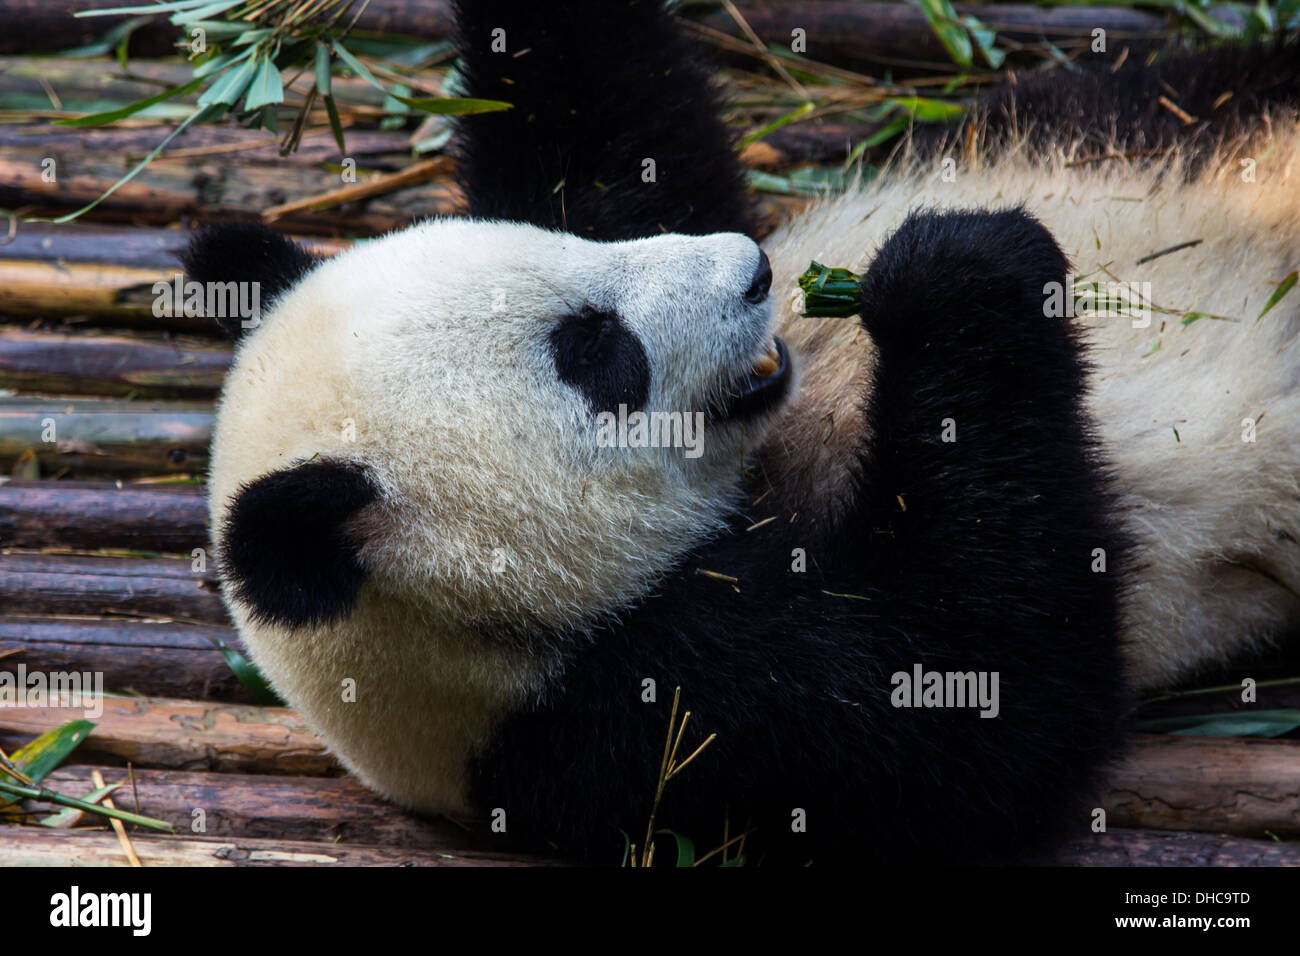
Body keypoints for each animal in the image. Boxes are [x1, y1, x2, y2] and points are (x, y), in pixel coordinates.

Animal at [182, 0, 1299, 863]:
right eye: (599, 355)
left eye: (568, 246)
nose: (754, 271)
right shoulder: (658, 711)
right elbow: (981, 703)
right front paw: (958, 271)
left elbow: (619, 129)